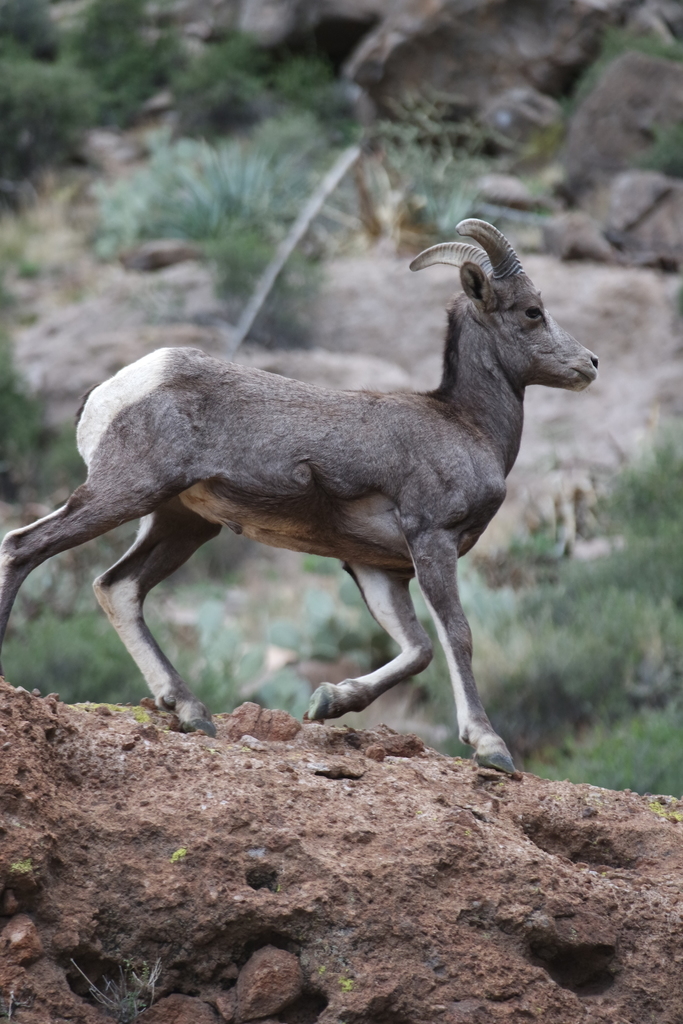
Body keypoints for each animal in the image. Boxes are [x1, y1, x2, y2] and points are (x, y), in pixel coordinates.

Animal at [0, 220, 598, 773]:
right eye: (532, 312)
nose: (589, 364)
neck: (468, 425)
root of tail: (111, 391)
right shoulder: (432, 539)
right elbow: (457, 635)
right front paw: (491, 748)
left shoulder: (376, 567)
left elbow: (417, 649)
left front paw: (327, 702)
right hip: (124, 491)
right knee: (23, 546)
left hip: (181, 524)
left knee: (117, 588)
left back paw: (193, 713)